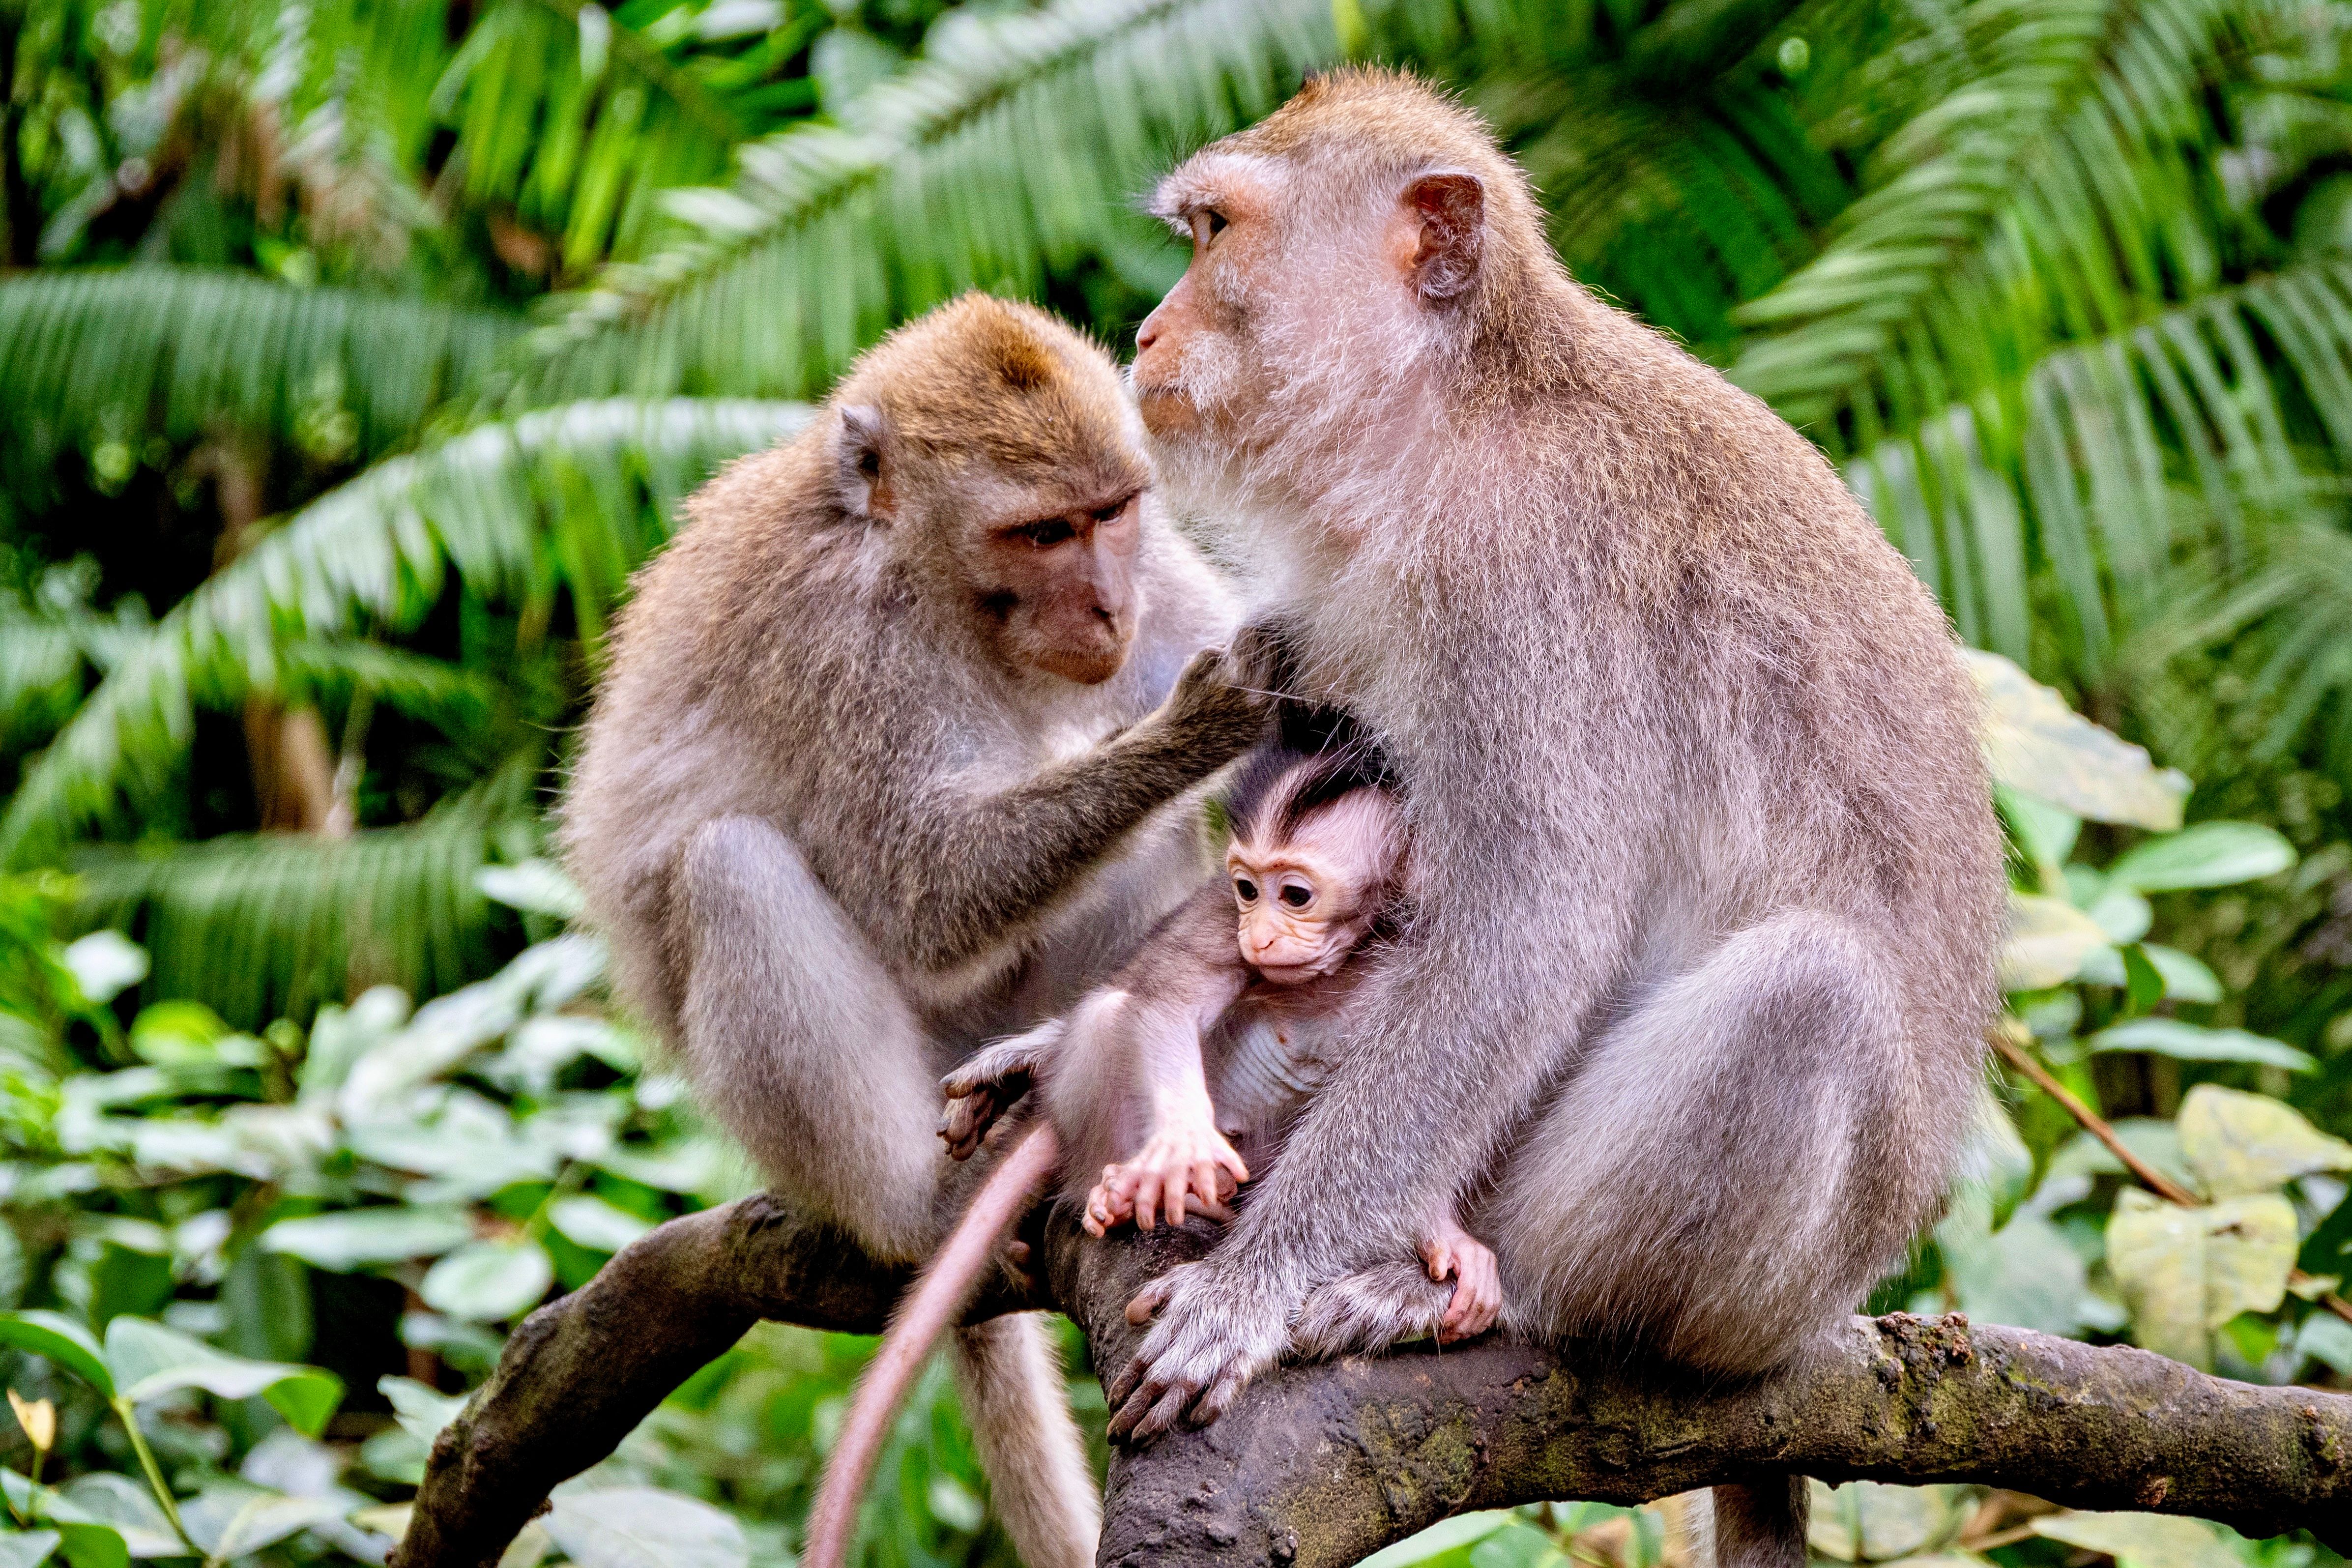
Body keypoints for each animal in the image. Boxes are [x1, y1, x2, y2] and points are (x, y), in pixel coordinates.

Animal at [561, 293, 1275, 1568]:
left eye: (1109, 513)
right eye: (1039, 534)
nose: (1107, 606)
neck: (935, 584)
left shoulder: (1153, 569)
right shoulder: (843, 638)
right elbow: (920, 888)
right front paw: (1202, 721)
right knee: (730, 867)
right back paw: (915, 1207)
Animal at [801, 733, 1502, 1568]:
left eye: (1295, 895)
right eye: (1247, 889)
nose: (1261, 934)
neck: (1361, 948)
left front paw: (1445, 1241)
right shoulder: (1215, 919)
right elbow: (1163, 1001)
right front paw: (1177, 1147)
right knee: (1113, 1017)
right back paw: (1132, 1187)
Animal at [1103, 69, 2008, 1568]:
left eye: (1216, 234)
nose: (1145, 331)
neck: (1463, 413)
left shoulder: (1533, 583)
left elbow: (1530, 933)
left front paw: (1253, 1286)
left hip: (1764, 1284)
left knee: (1808, 990)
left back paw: (1506, 1288)